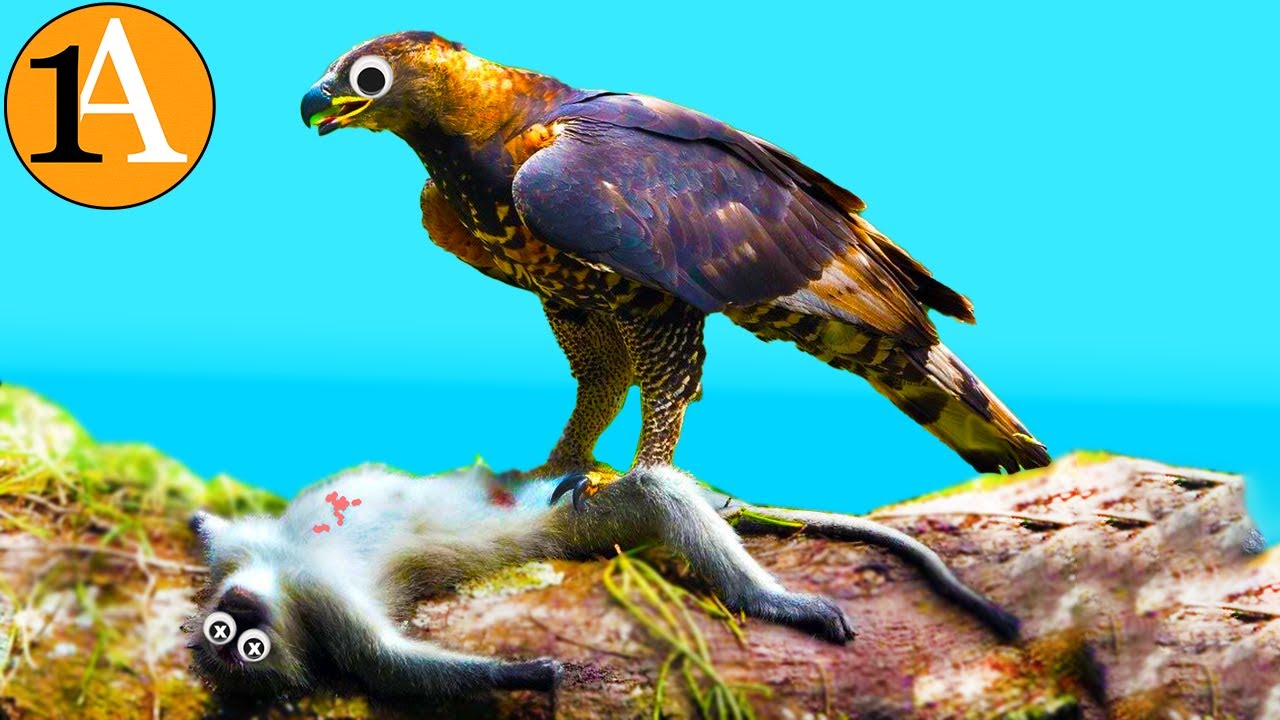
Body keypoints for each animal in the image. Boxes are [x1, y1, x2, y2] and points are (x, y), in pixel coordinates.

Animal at [187, 463, 1018, 700]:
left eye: (240, 637)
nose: (234, 619)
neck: (277, 575)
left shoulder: (261, 565)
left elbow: (216, 532)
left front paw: (197, 519)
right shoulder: (324, 608)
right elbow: (389, 663)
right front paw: (522, 674)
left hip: (547, 501)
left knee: (643, 485)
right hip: (561, 526)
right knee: (651, 494)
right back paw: (764, 596)